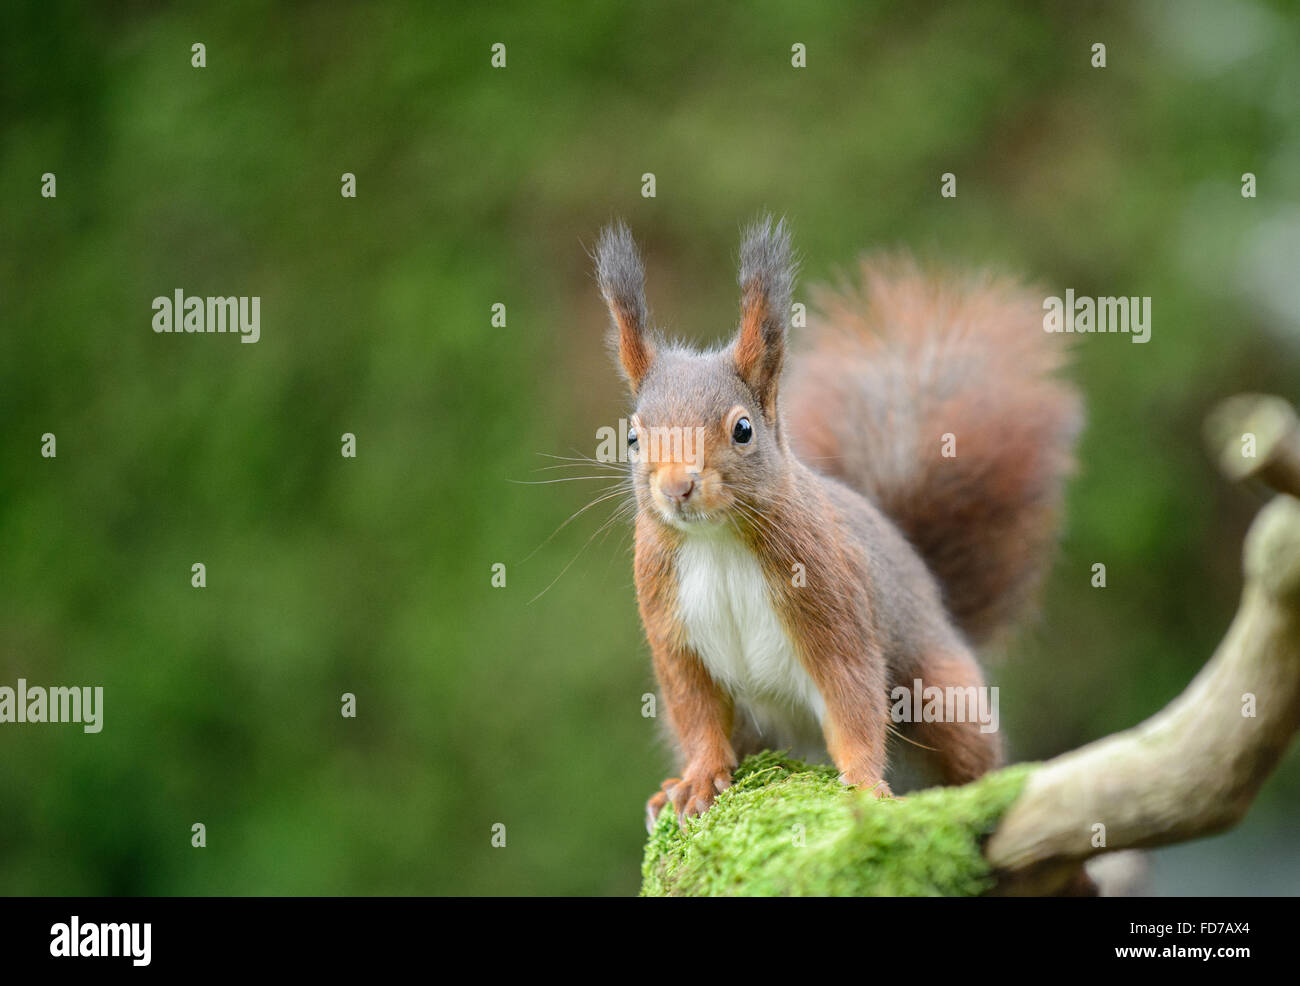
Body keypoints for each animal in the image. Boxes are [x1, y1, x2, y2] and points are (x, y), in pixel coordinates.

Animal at [593, 216, 1082, 828]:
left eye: (743, 430)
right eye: (633, 437)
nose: (677, 487)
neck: (717, 539)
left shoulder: (831, 601)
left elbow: (853, 696)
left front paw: (865, 786)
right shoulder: (673, 633)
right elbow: (697, 714)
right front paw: (698, 780)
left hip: (941, 694)